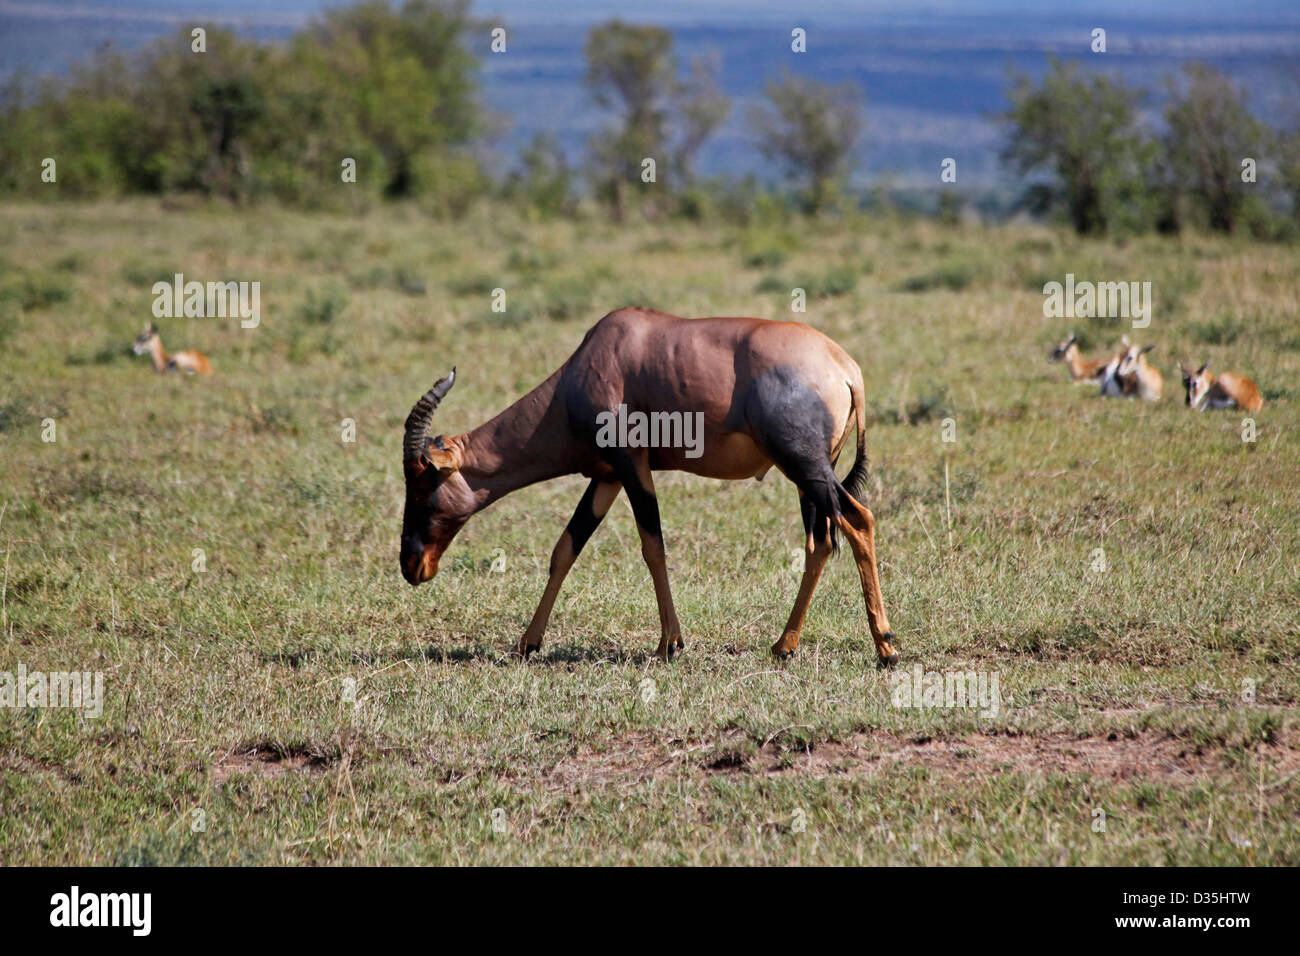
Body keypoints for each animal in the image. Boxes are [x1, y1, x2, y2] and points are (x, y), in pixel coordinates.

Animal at [400, 307, 899, 667]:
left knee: (857, 520)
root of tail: (844, 366)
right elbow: (566, 548)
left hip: (805, 465)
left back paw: (887, 647)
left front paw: (669, 645)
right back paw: (784, 645)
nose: (411, 567)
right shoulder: (606, 476)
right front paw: (527, 644)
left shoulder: (631, 463)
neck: (593, 360)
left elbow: (652, 546)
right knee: (821, 540)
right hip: (810, 473)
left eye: (423, 484)